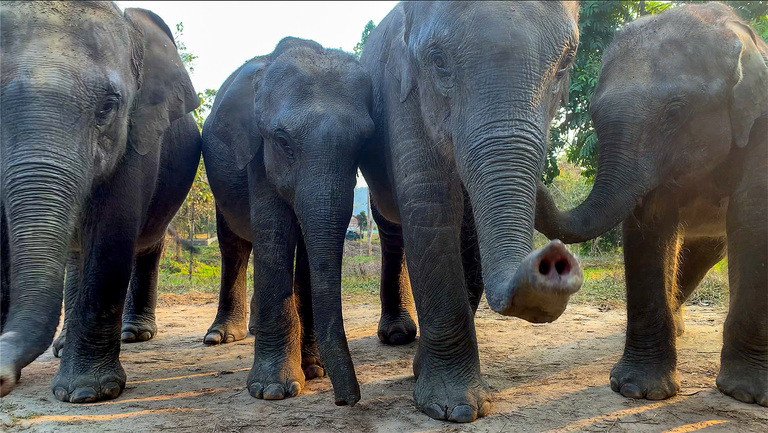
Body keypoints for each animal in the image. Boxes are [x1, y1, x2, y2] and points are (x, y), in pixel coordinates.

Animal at [0, 1, 200, 402]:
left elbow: (110, 230)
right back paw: (62, 345)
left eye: (109, 106)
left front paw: (87, 393)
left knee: (147, 244)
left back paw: (135, 334)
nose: (3, 376)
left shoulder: (140, 133)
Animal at [201, 37, 373, 404]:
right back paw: (220, 336)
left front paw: (314, 370)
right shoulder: (256, 154)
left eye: (364, 146)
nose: (345, 400)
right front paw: (272, 390)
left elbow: (307, 249)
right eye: (282, 141)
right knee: (234, 247)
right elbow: (275, 233)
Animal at [357, 1, 584, 422]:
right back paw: (396, 335)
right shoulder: (404, 98)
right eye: (438, 61)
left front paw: (423, 372)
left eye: (565, 63)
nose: (553, 259)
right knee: (390, 226)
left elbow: (469, 232)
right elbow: (430, 206)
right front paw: (455, 409)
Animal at [535, 3, 768, 407]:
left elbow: (753, 218)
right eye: (594, 114)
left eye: (675, 112)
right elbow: (649, 223)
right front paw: (638, 391)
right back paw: (677, 326)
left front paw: (747, 394)